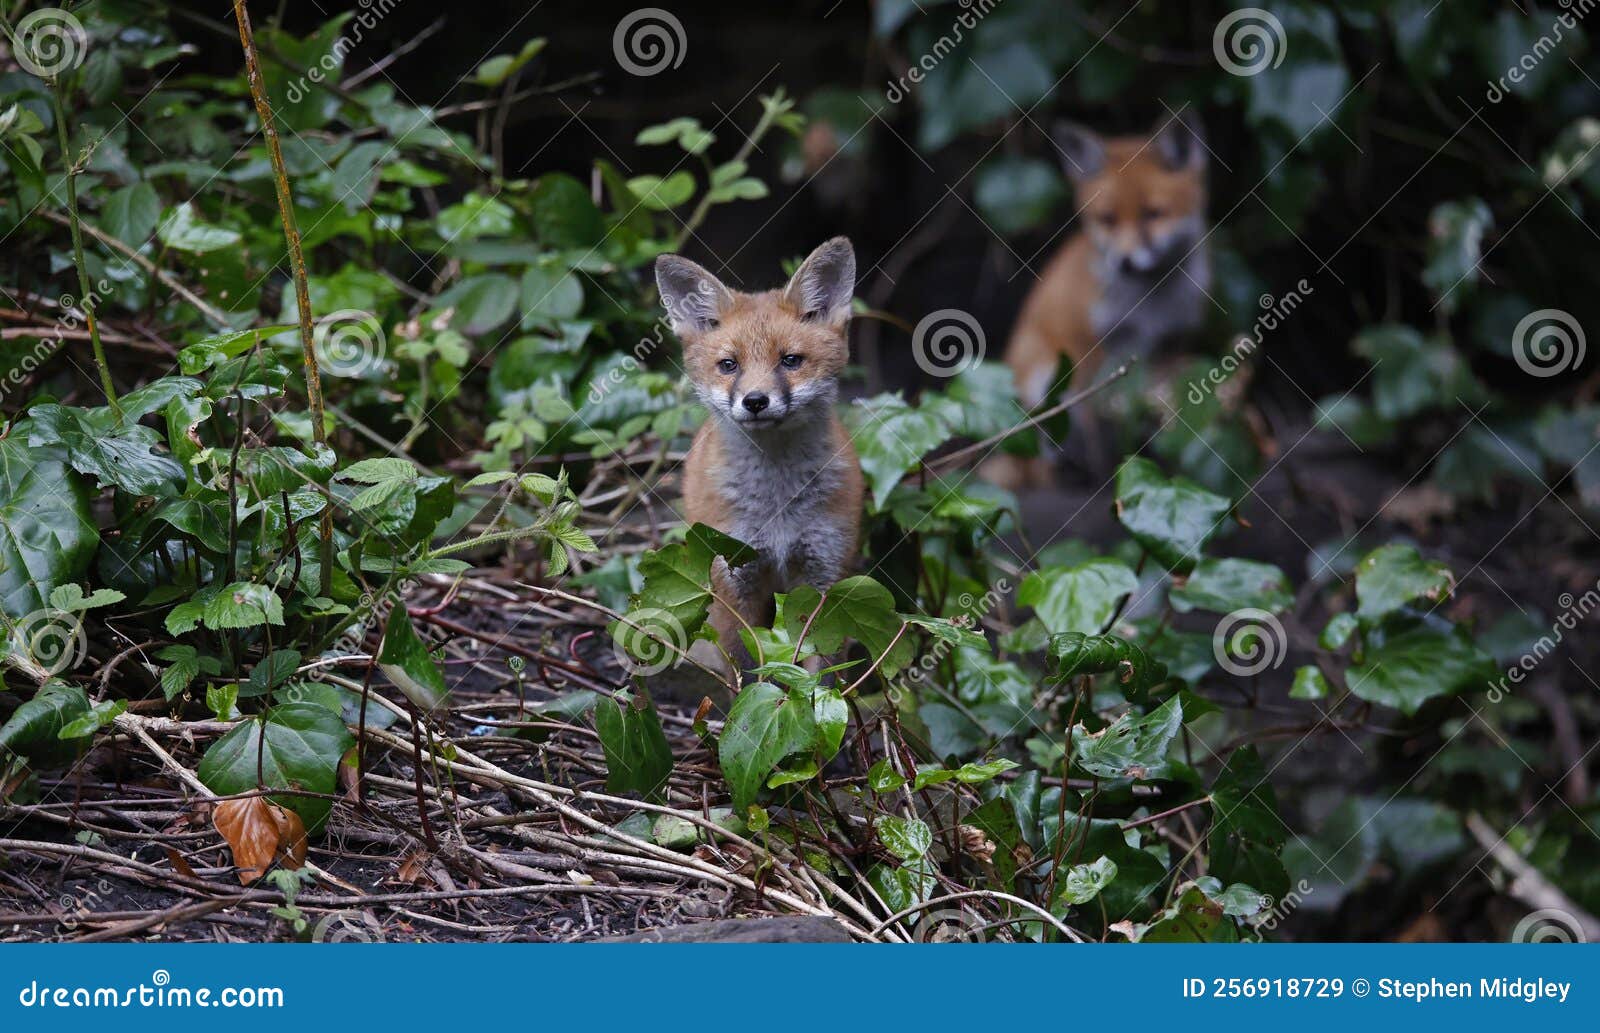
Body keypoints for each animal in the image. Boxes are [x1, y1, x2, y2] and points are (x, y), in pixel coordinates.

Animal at [655, 238, 863, 679]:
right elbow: (749, 666)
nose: (755, 401)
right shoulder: (732, 579)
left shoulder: (825, 575)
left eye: (790, 361)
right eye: (729, 365)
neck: (777, 504)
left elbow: (821, 673)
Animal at [993, 113, 1210, 485]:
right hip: (1043, 373)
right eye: (1107, 219)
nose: (1125, 261)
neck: (1147, 307)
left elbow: (1165, 416)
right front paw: (1105, 476)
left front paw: (1162, 466)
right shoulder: (1086, 347)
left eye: (1153, 214)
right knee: (1041, 453)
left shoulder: (1172, 344)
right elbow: (1090, 422)